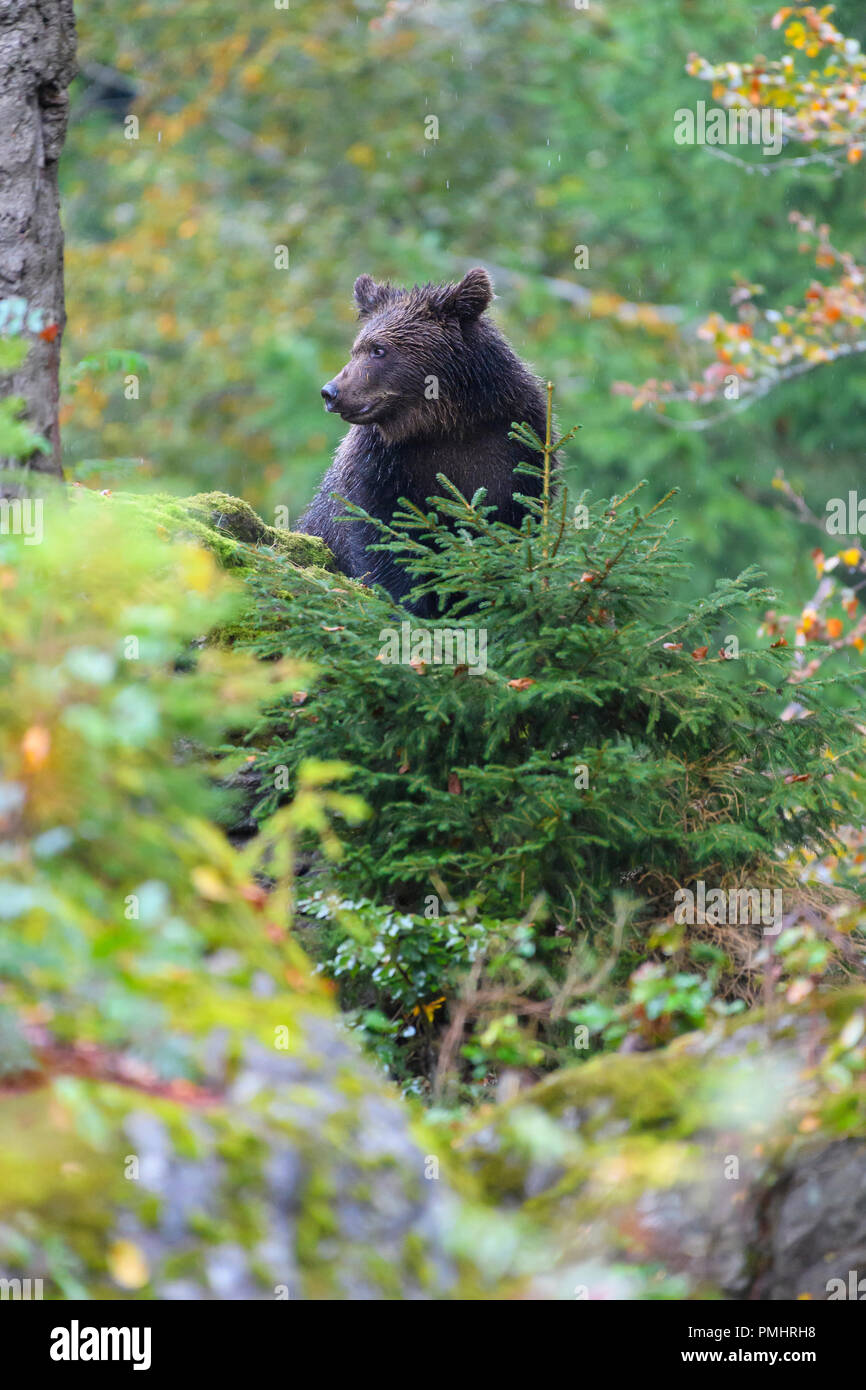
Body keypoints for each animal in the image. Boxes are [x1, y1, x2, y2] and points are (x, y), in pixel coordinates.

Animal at [296, 267, 552, 617]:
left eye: (379, 349)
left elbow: (516, 522)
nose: (331, 392)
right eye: (356, 348)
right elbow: (386, 538)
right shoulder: (383, 465)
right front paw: (409, 603)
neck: (447, 423)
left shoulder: (518, 443)